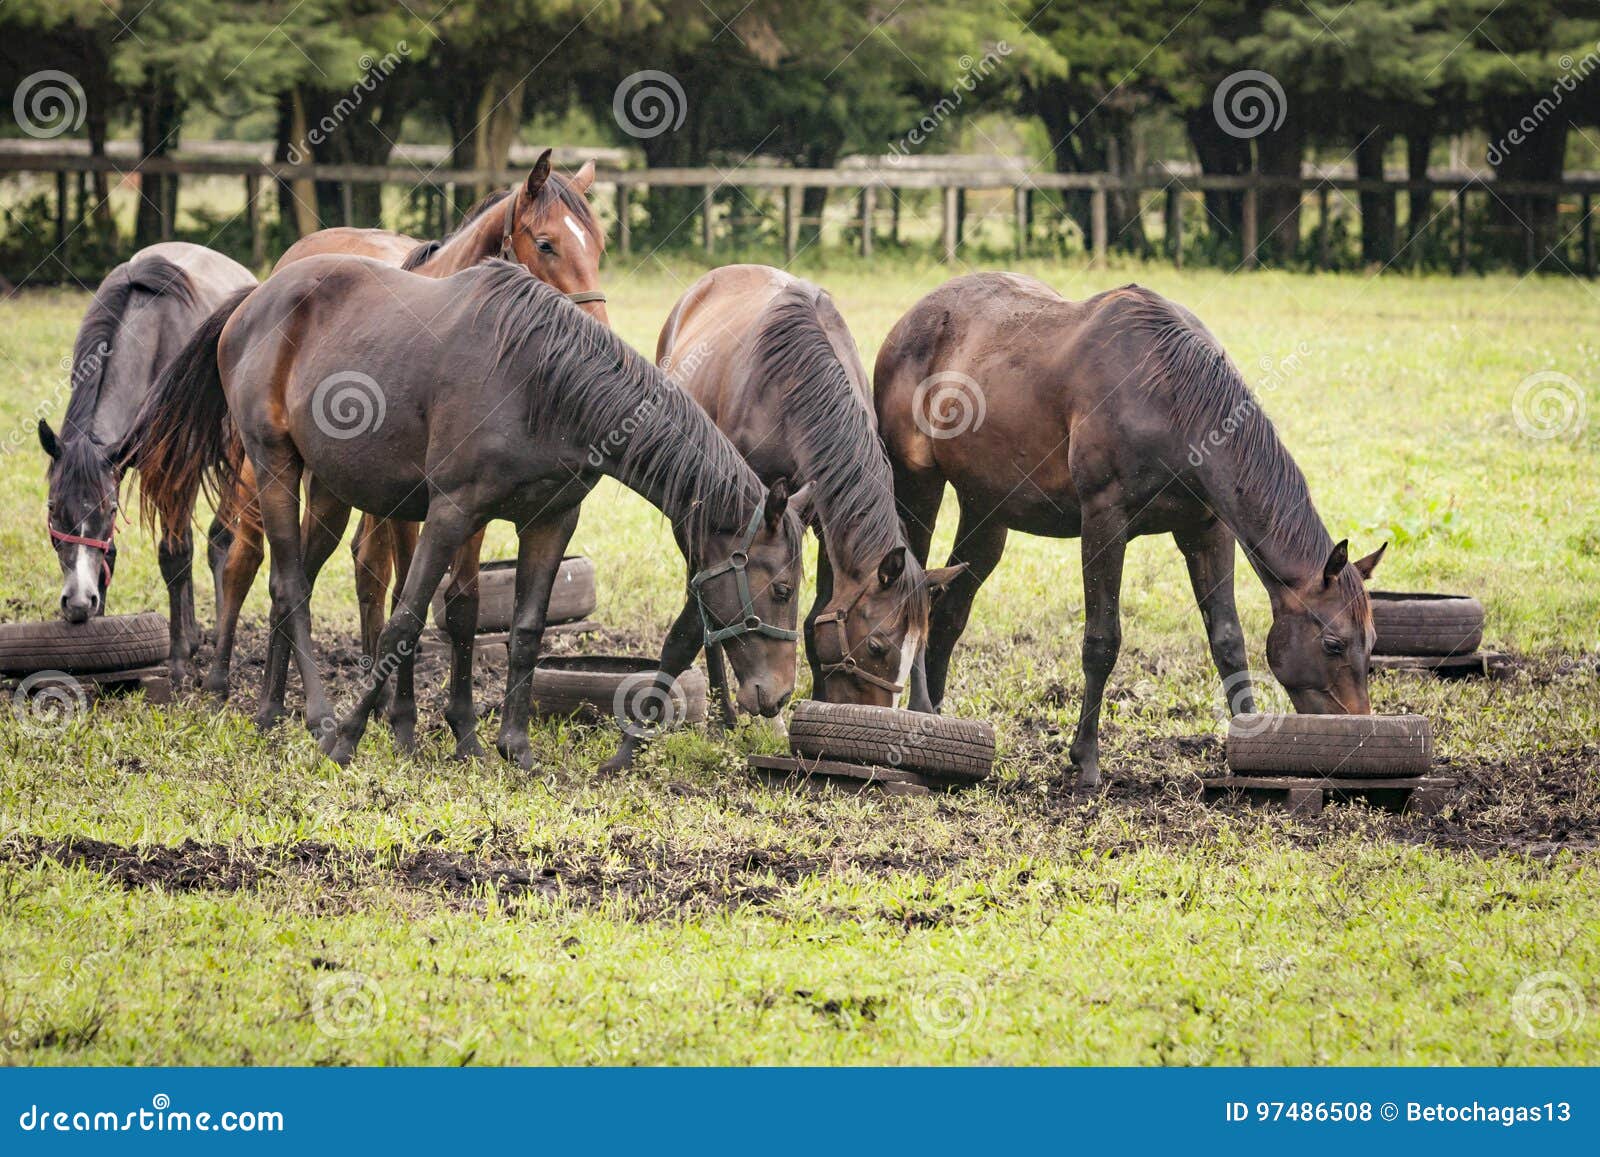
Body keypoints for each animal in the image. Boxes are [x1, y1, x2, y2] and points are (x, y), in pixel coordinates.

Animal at [37, 243, 256, 675]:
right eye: (53, 508)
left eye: (108, 510)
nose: (77, 601)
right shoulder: (119, 468)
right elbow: (114, 554)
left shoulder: (179, 470)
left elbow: (175, 556)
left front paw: (177, 660)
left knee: (216, 543)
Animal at [130, 256, 805, 771]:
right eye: (780, 589)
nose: (776, 696)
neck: (543, 385)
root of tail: (257, 298)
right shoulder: (452, 512)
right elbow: (404, 622)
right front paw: (348, 738)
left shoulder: (550, 521)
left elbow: (526, 631)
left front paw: (513, 745)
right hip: (275, 466)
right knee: (290, 584)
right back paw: (319, 718)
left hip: (328, 490)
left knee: (285, 587)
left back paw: (271, 714)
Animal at [189, 151, 607, 746]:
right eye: (547, 244)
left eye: (598, 246)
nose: (596, 339)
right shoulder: (416, 509)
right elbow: (405, 599)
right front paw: (406, 723)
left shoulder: (466, 509)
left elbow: (461, 604)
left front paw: (461, 726)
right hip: (268, 467)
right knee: (249, 557)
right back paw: (245, 692)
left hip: (332, 495)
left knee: (316, 575)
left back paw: (285, 699)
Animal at [657, 265, 964, 714]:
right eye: (876, 646)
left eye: (914, 648)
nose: (877, 714)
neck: (791, 392)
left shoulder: (821, 519)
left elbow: (816, 615)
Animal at [874, 274, 1385, 786]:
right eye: (1333, 643)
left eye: (1372, 643)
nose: (1357, 735)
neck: (1172, 397)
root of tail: (911, 321)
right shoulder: (1105, 520)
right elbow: (1102, 641)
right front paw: (1085, 760)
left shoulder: (1208, 529)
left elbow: (1227, 639)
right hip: (919, 489)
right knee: (918, 592)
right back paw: (920, 711)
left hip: (987, 512)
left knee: (949, 610)